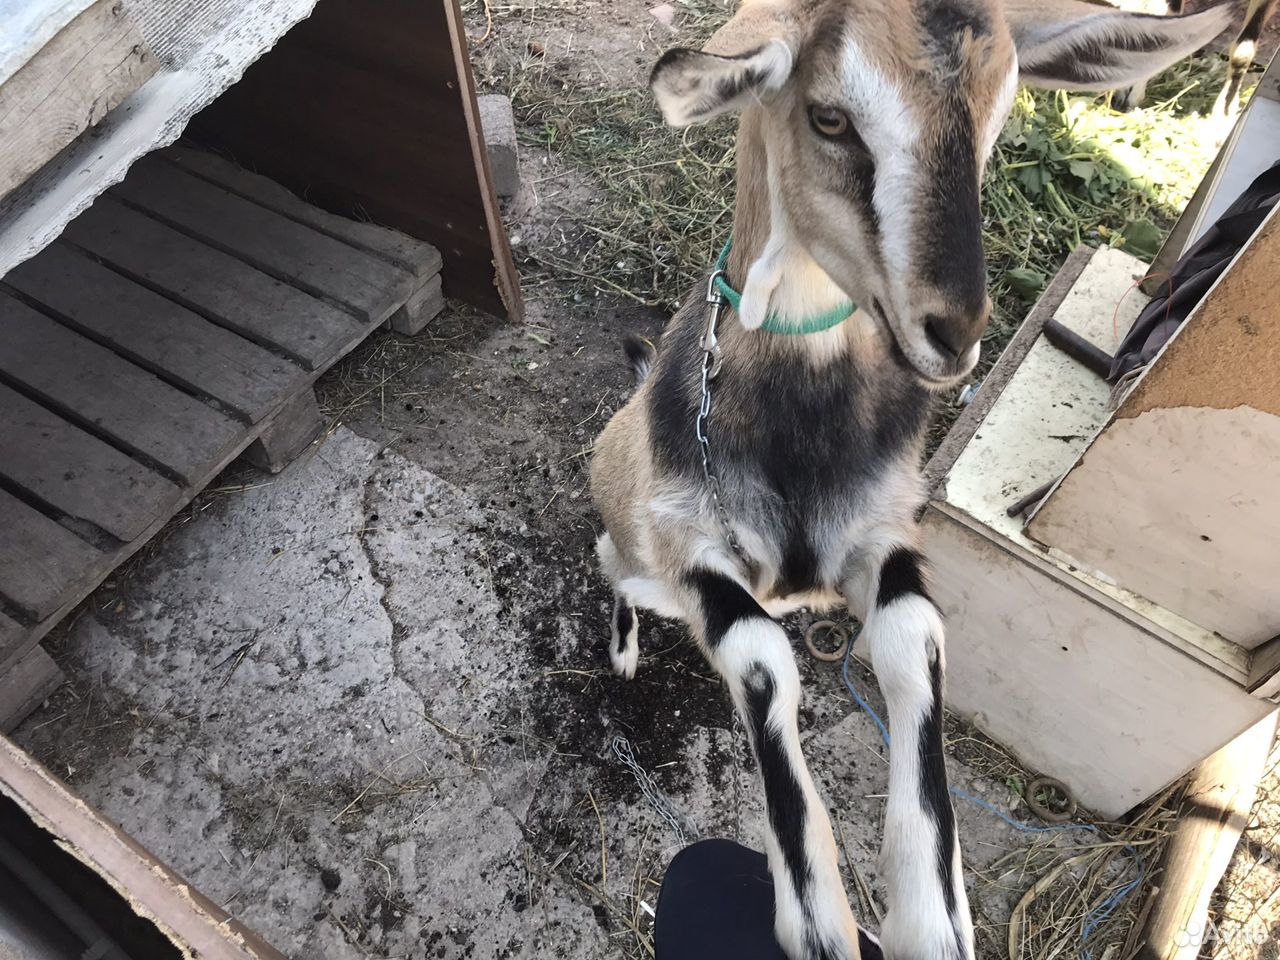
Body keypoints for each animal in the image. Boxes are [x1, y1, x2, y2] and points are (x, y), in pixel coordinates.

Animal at [589, 1, 1231, 958]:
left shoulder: (885, 533)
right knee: (611, 567)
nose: (954, 331)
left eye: (997, 120)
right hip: (634, 545)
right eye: (828, 116)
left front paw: (933, 919)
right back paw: (626, 650)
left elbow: (913, 637)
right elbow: (761, 657)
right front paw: (817, 918)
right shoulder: (696, 547)